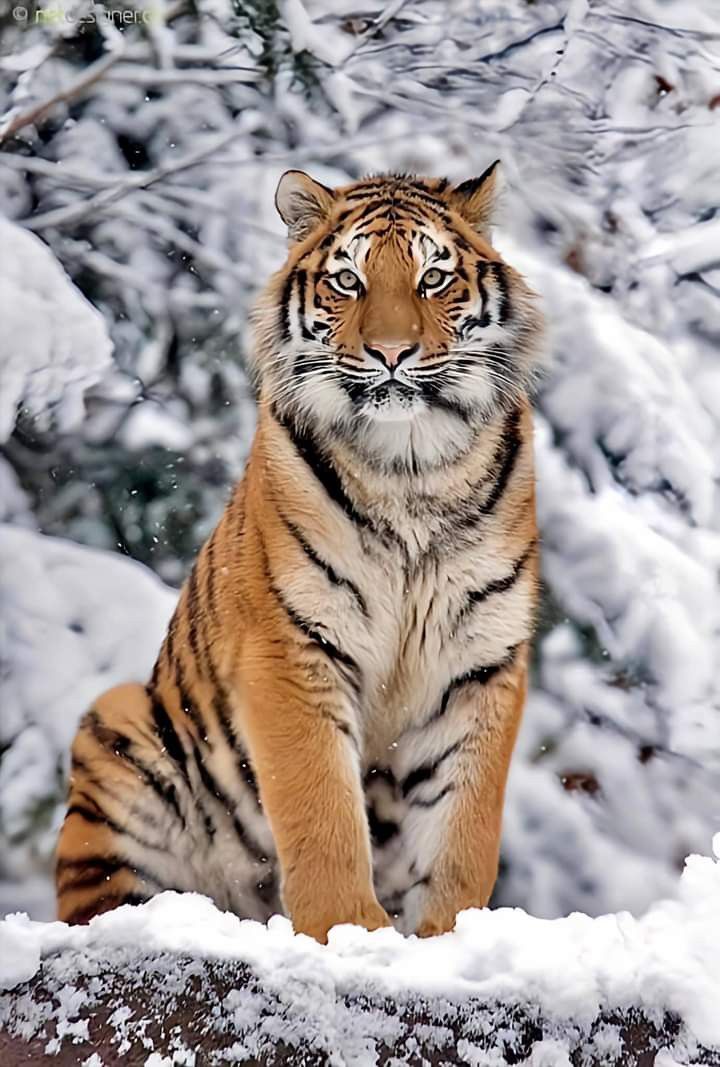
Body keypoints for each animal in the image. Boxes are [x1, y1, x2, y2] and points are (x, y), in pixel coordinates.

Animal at [56, 162, 543, 943]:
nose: (391, 353)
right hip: (118, 726)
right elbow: (321, 812)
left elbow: (464, 834)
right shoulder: (291, 647)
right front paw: (349, 931)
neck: (412, 467)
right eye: (347, 280)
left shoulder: (481, 660)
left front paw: (447, 937)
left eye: (434, 278)